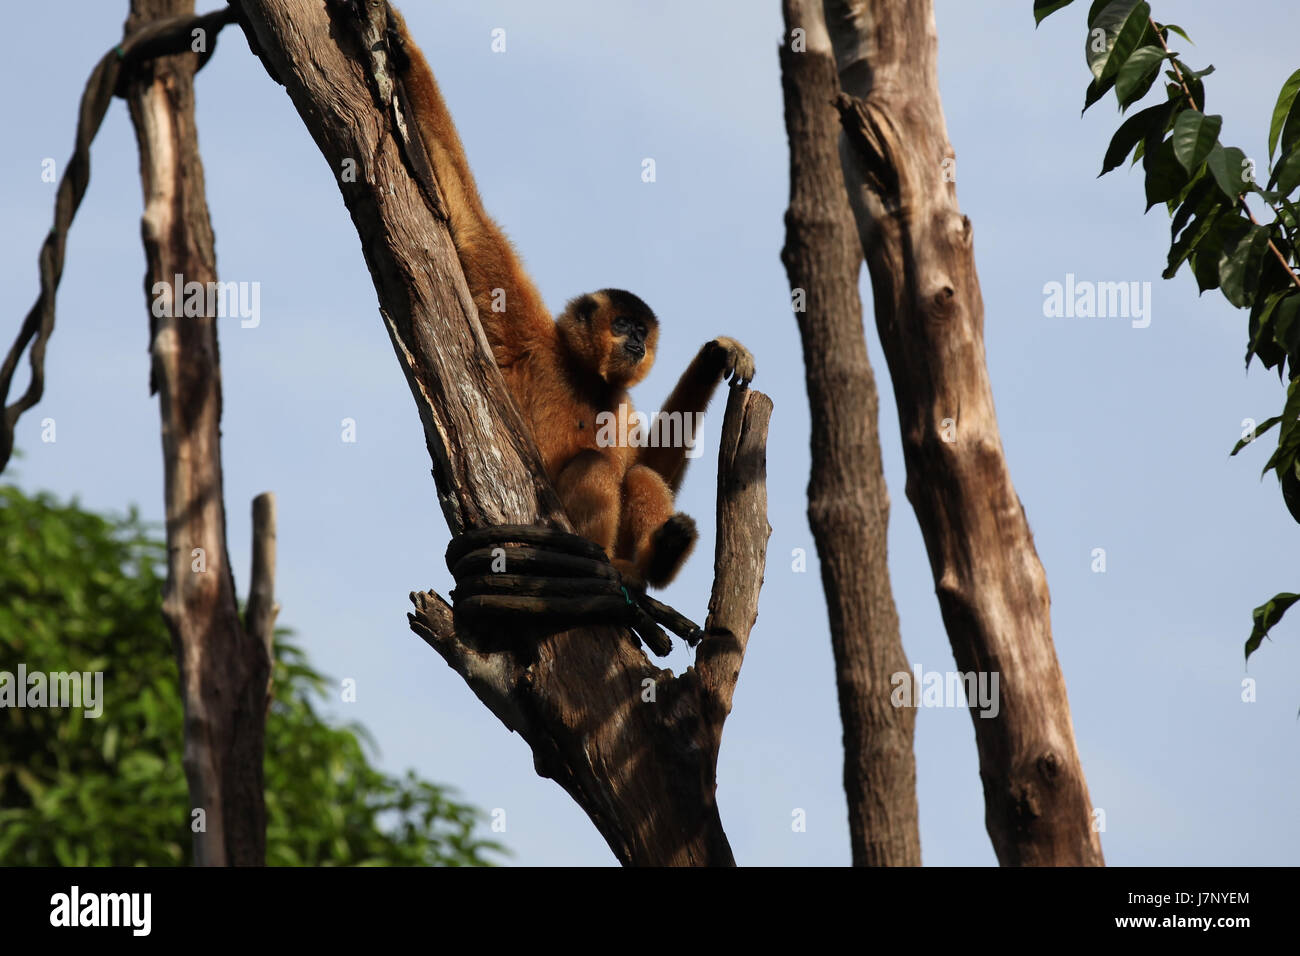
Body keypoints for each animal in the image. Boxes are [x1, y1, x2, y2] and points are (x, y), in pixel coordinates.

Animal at [381, 6, 755, 589]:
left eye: (642, 332)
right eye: (623, 326)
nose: (636, 343)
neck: (584, 375)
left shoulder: (619, 403)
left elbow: (647, 461)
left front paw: (715, 355)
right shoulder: (529, 335)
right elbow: (471, 224)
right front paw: (405, 49)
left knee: (638, 475)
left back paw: (655, 562)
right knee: (594, 466)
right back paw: (612, 563)